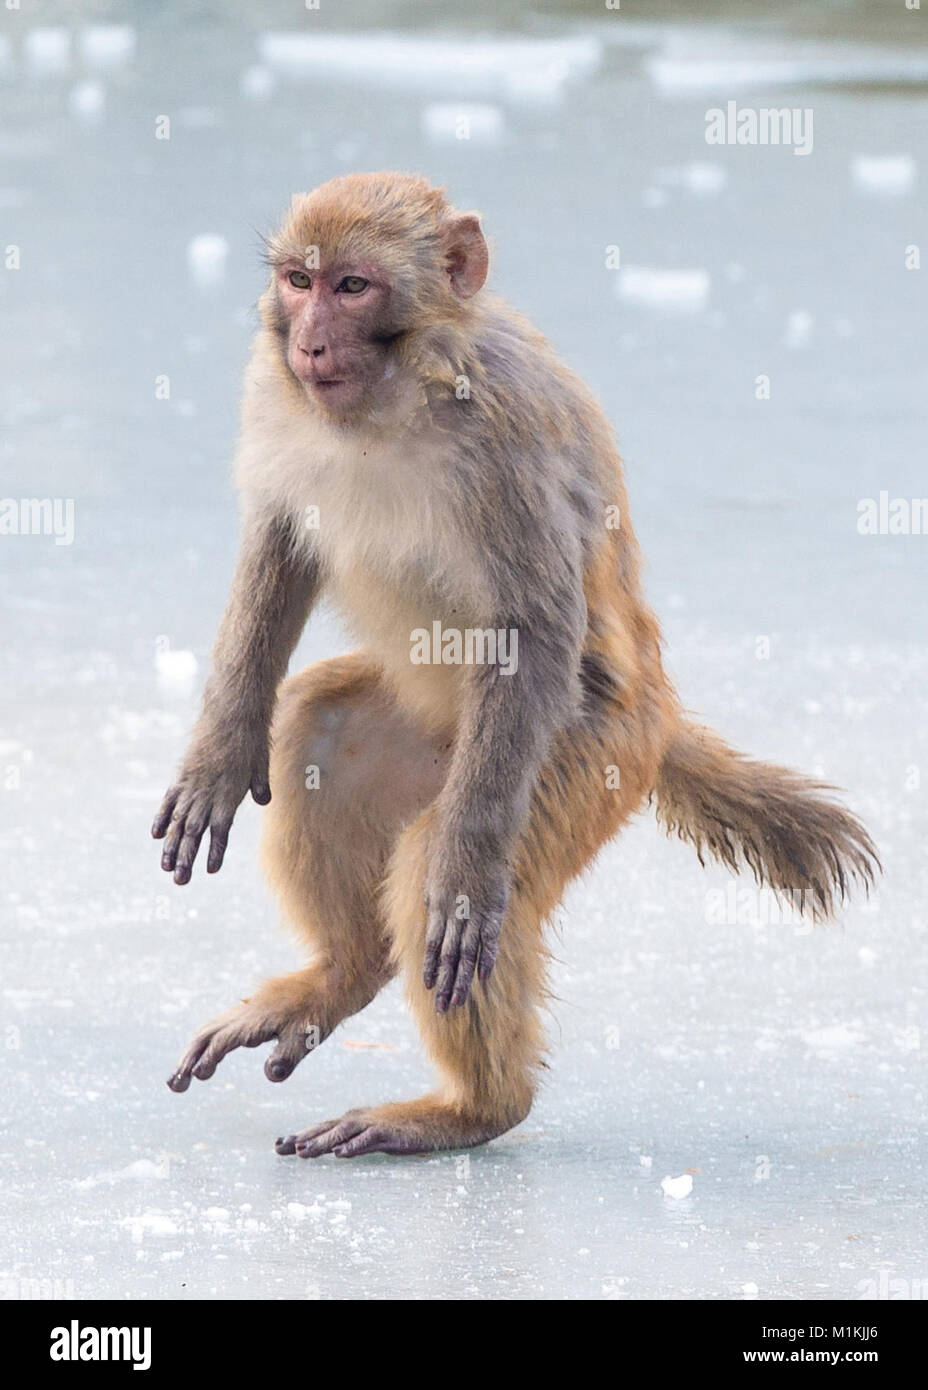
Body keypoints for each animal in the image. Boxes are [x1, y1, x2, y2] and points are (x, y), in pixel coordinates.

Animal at [152, 171, 879, 1159]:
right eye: (299, 280)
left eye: (353, 287)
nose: (309, 340)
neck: (392, 398)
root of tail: (660, 713)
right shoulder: (273, 395)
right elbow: (280, 542)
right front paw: (221, 751)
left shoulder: (506, 438)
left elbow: (531, 629)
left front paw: (458, 892)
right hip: (429, 743)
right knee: (315, 720)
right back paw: (341, 972)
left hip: (572, 762)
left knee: (443, 859)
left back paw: (472, 1108)